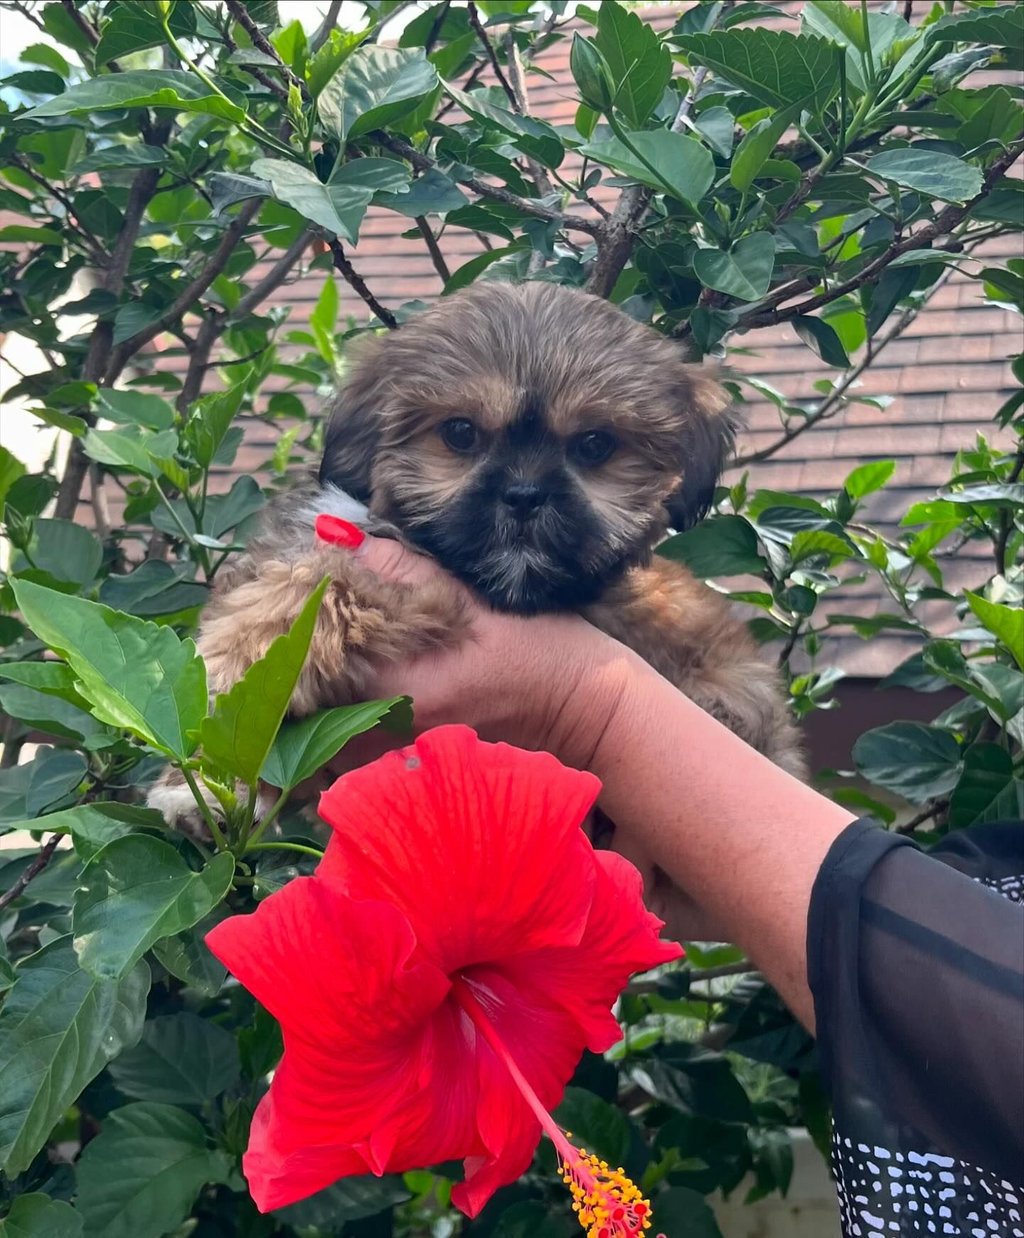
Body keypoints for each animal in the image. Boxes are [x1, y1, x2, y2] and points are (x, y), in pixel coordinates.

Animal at [150, 283, 807, 831]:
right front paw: (205, 774)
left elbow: (325, 584)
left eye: (595, 445)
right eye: (460, 434)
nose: (524, 494)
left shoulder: (424, 597)